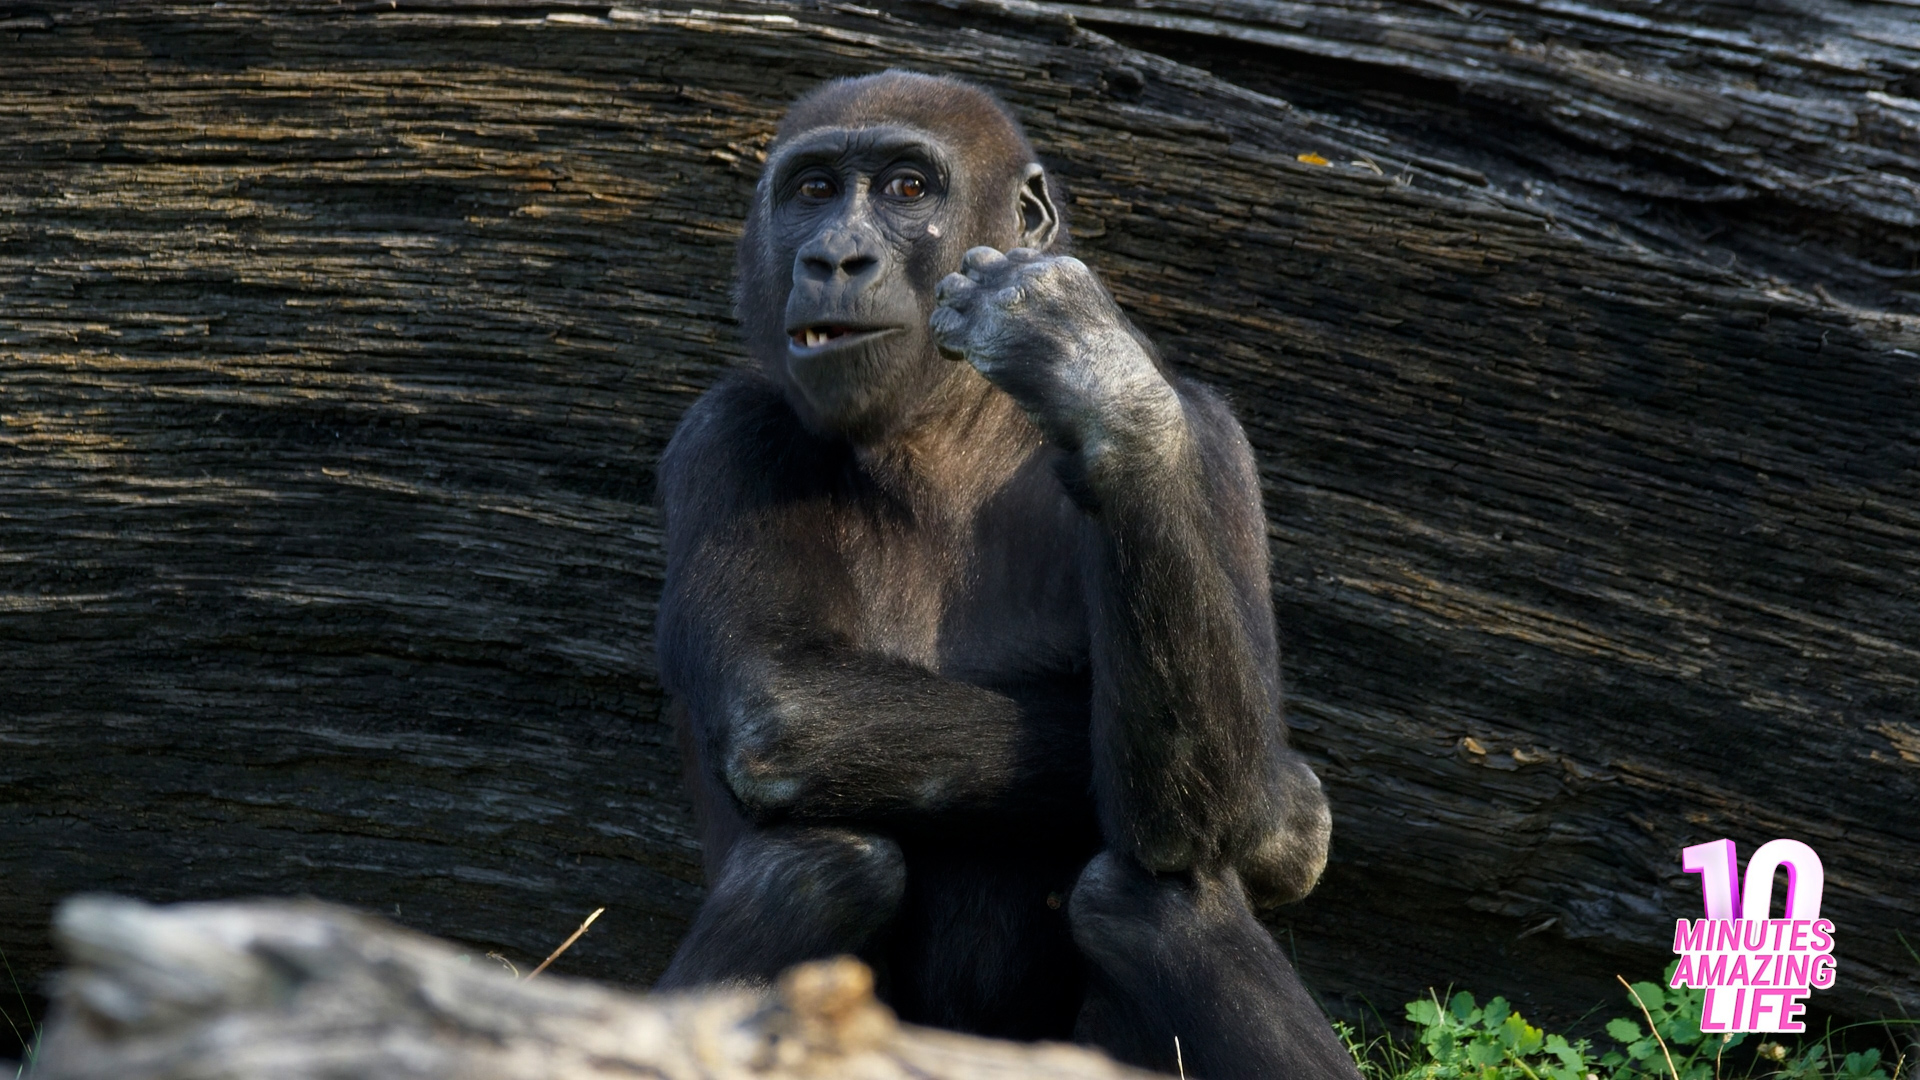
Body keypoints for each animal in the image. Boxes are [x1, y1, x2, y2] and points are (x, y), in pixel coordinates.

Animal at [653, 69, 1358, 1080]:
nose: (834, 258)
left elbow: (1228, 797)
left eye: (908, 188)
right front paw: (1295, 807)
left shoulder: (1212, 437)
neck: (947, 431)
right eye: (814, 191)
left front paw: (1096, 376)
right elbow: (780, 707)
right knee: (816, 867)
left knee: (1153, 892)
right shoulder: (723, 434)